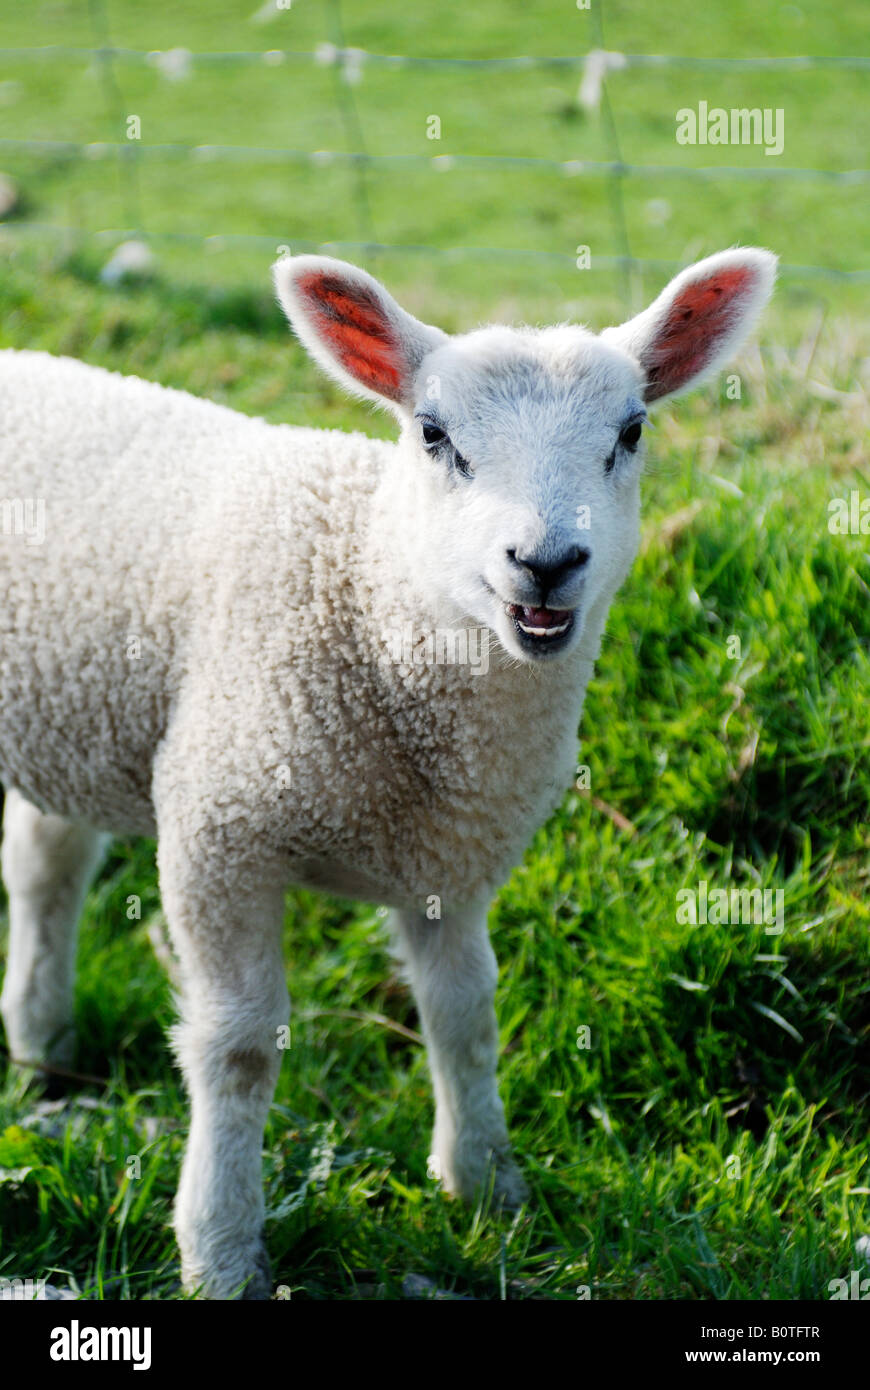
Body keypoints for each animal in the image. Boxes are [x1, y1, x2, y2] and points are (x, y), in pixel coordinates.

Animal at [0, 246, 776, 1299]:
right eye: (434, 434)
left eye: (632, 431)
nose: (546, 561)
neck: (371, 590)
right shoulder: (220, 825)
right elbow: (237, 1049)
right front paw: (221, 1249)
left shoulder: (454, 855)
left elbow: (465, 1015)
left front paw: (486, 1186)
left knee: (47, 866)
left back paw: (42, 1045)